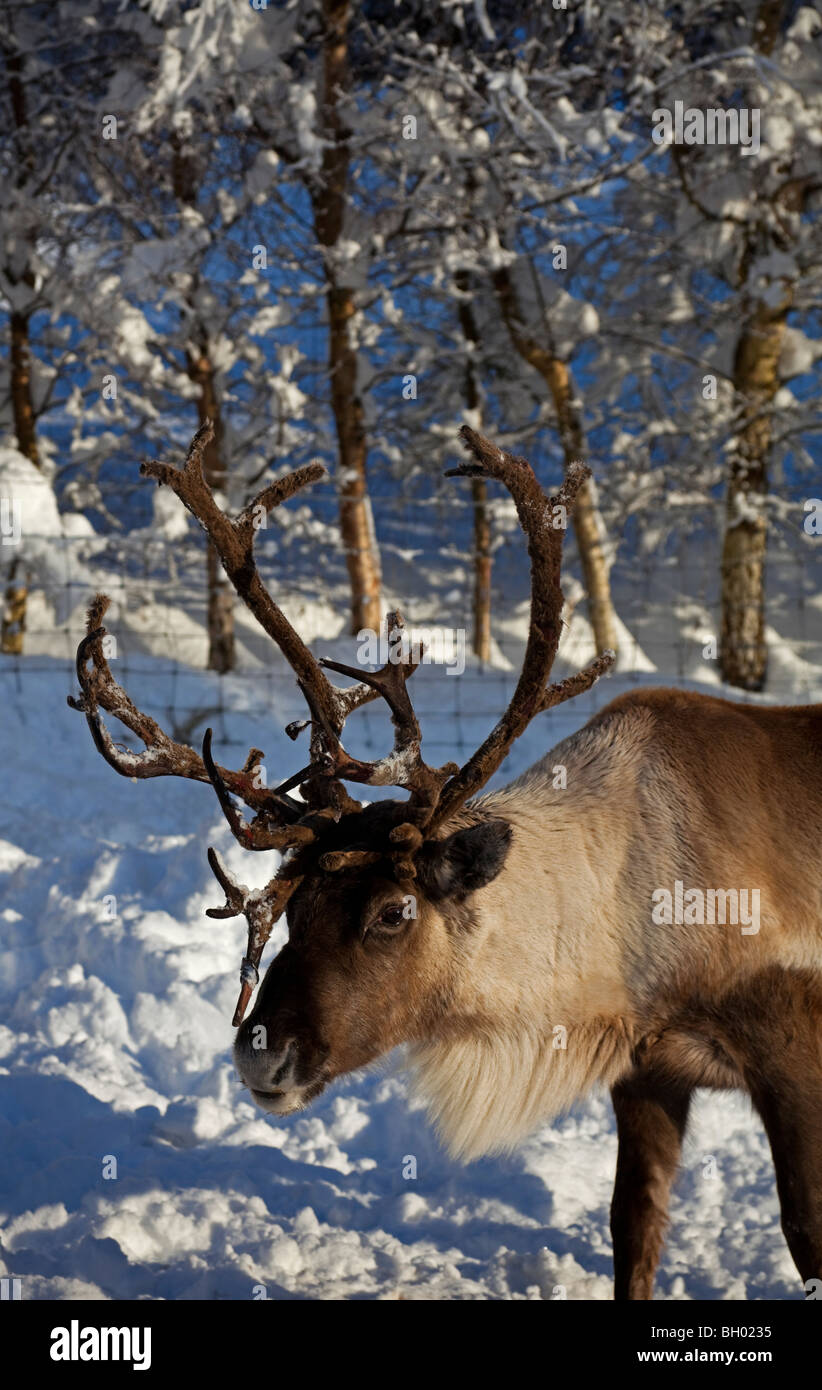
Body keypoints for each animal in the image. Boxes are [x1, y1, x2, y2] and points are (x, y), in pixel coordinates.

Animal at [68, 421, 822, 1301]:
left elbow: (804, 1233)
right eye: (294, 907)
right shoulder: (649, 1067)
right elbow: (634, 1227)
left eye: (394, 911)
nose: (261, 1051)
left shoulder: (791, 1051)